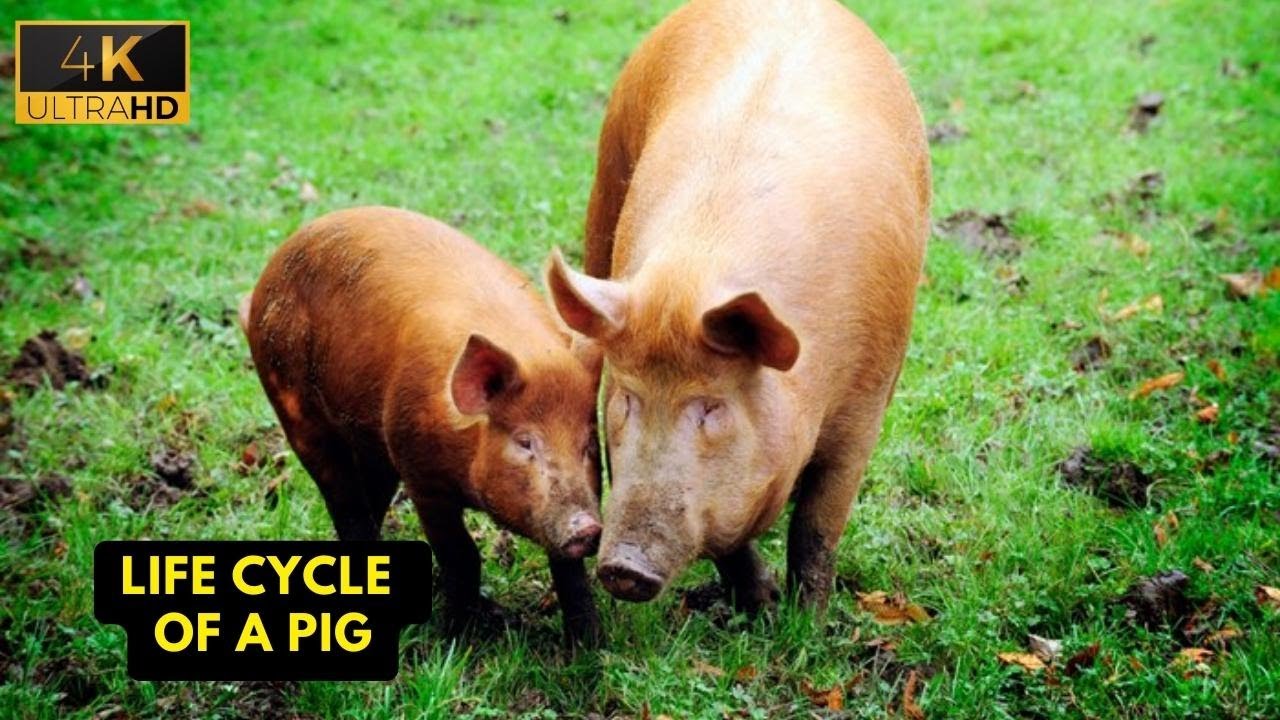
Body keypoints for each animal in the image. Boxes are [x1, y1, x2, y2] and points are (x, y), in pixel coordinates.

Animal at [243, 206, 604, 645]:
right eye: (525, 442)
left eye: (588, 444)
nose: (588, 528)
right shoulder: (421, 472)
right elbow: (460, 553)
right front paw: (455, 639)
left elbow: (568, 570)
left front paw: (590, 645)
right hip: (292, 401)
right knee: (344, 500)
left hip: (371, 437)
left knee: (371, 493)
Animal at [545, 0, 930, 612]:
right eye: (626, 398)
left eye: (712, 407)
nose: (623, 568)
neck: (696, 271)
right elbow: (729, 538)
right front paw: (760, 603)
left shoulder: (866, 403)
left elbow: (816, 528)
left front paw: (805, 621)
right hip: (606, 179)